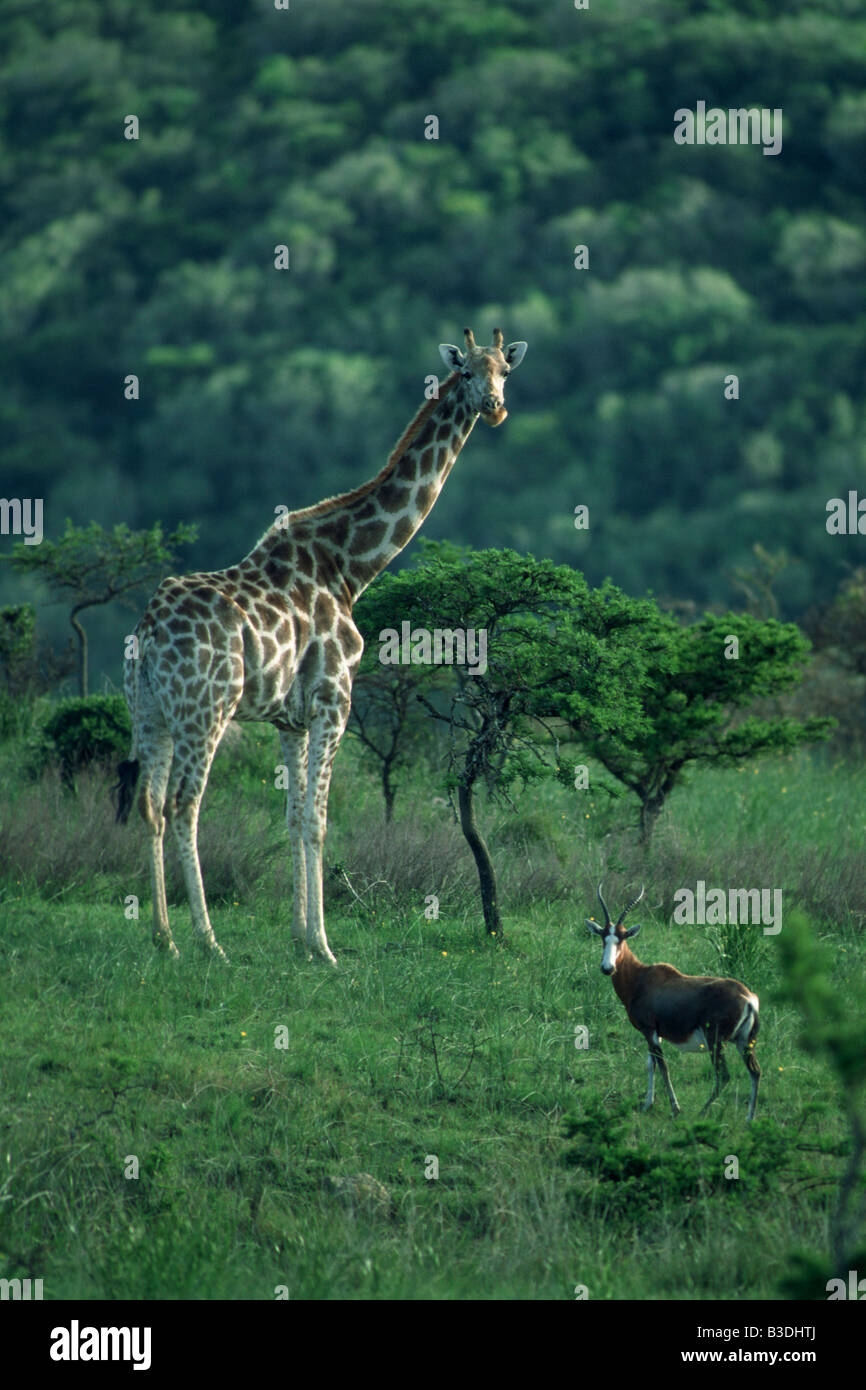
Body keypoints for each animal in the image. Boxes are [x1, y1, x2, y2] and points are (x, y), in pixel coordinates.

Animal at [114, 327, 527, 965]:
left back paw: (164, 937)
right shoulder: (335, 698)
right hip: (205, 710)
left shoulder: (290, 718)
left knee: (151, 805)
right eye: (466, 373)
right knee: (185, 805)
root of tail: (150, 631)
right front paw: (324, 945)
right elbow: (319, 820)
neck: (351, 567)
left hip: (151, 712)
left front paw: (298, 937)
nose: (497, 407)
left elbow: (291, 818)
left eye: (505, 369)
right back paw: (208, 941)